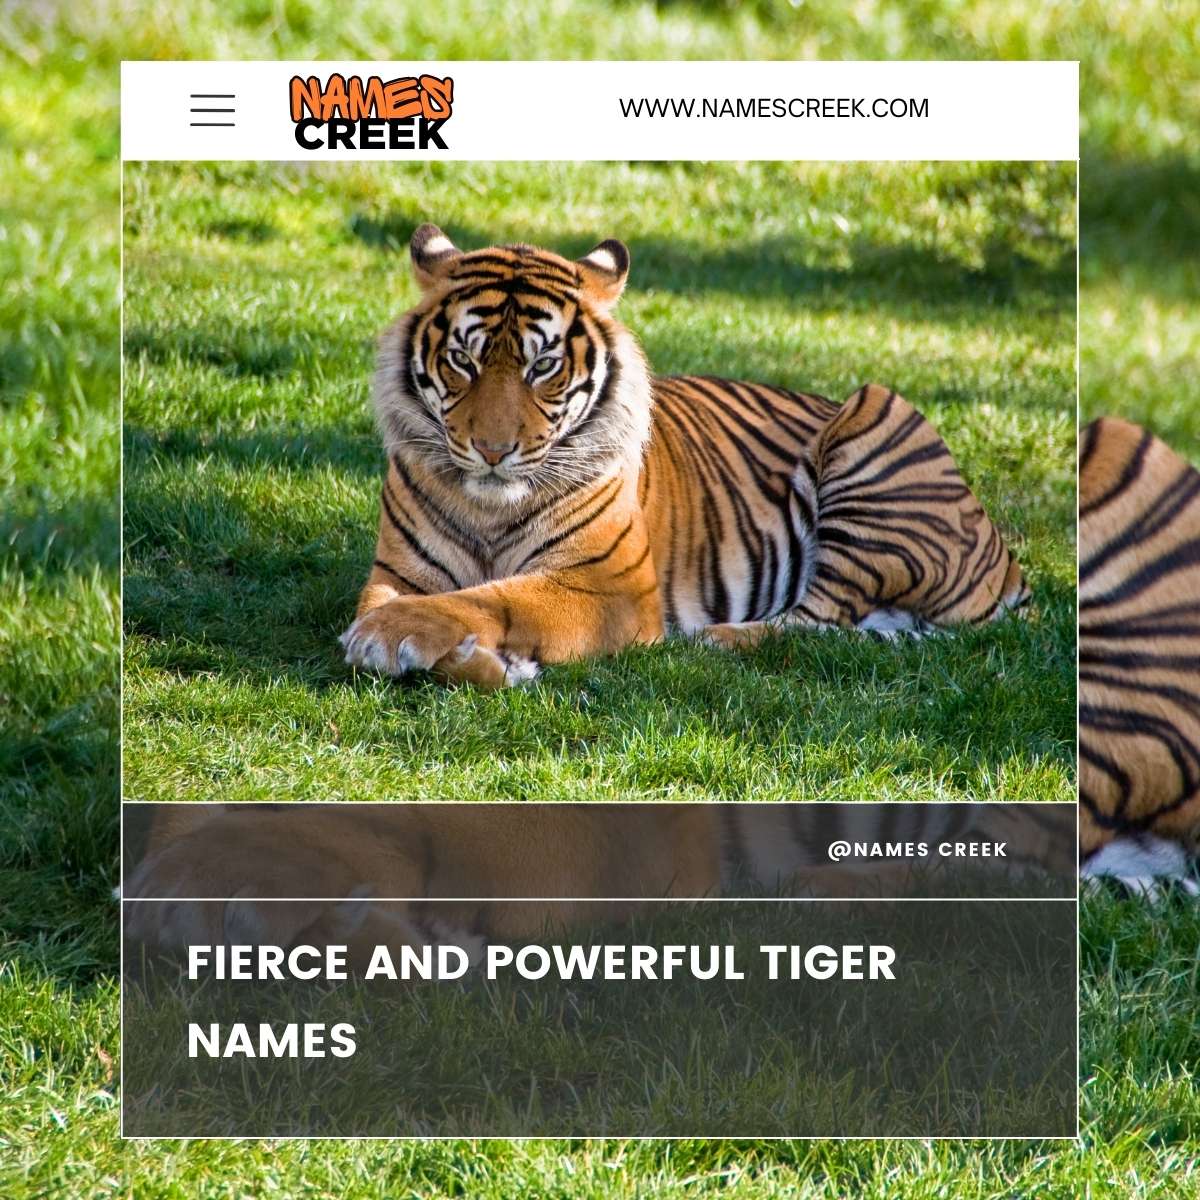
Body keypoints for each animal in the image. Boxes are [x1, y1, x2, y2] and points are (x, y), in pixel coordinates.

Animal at [339, 225, 1029, 688]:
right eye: (464, 360)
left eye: (543, 366)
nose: (492, 450)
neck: (490, 508)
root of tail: (1007, 560)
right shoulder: (398, 570)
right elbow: (405, 601)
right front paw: (475, 659)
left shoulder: (609, 587)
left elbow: (494, 597)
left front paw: (391, 637)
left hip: (876, 415)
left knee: (816, 617)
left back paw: (713, 639)